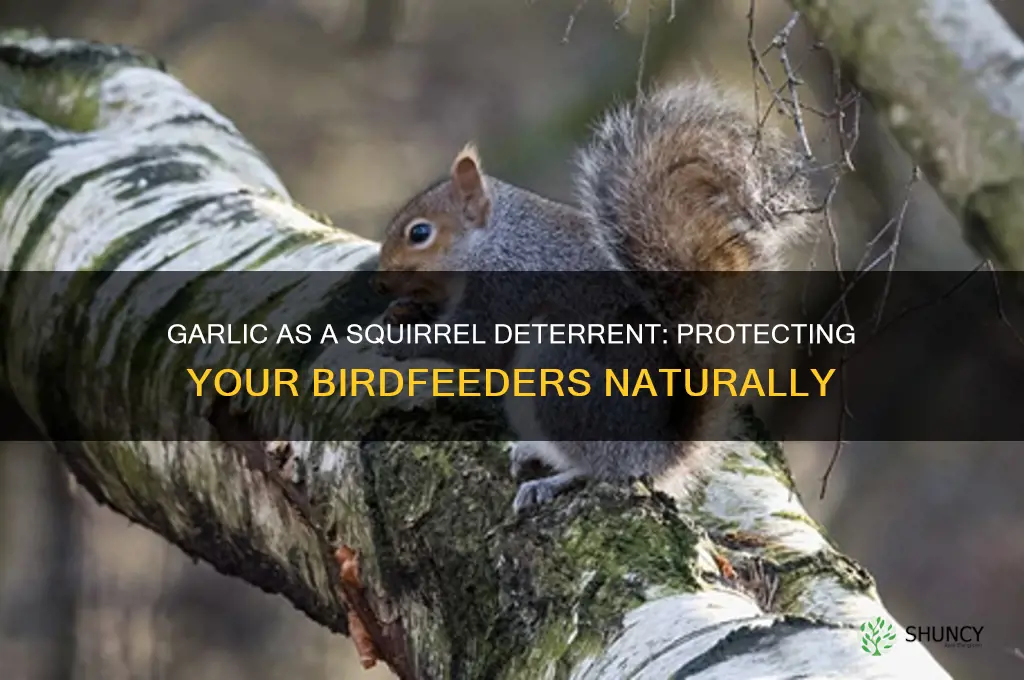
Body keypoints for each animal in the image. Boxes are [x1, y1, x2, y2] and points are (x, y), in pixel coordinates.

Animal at [372, 80, 814, 514]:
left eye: (420, 233)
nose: (381, 282)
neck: (494, 241)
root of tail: (660, 453)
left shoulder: (506, 290)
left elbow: (473, 343)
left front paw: (400, 342)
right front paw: (398, 313)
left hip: (556, 371)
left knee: (603, 469)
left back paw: (552, 481)